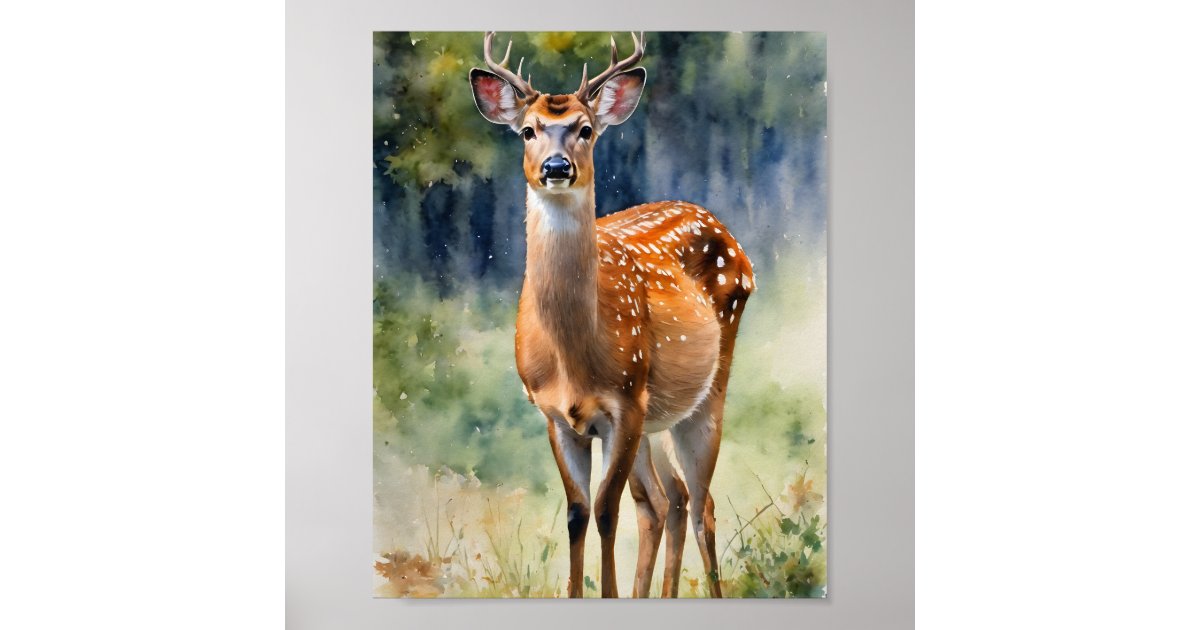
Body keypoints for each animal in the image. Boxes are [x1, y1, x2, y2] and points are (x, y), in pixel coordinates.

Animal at [469, 32, 755, 598]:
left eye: (585, 129)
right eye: (528, 131)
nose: (557, 168)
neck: (577, 357)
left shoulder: (625, 405)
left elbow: (606, 510)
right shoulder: (556, 415)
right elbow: (578, 512)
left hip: (703, 393)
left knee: (700, 503)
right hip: (657, 420)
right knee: (668, 501)